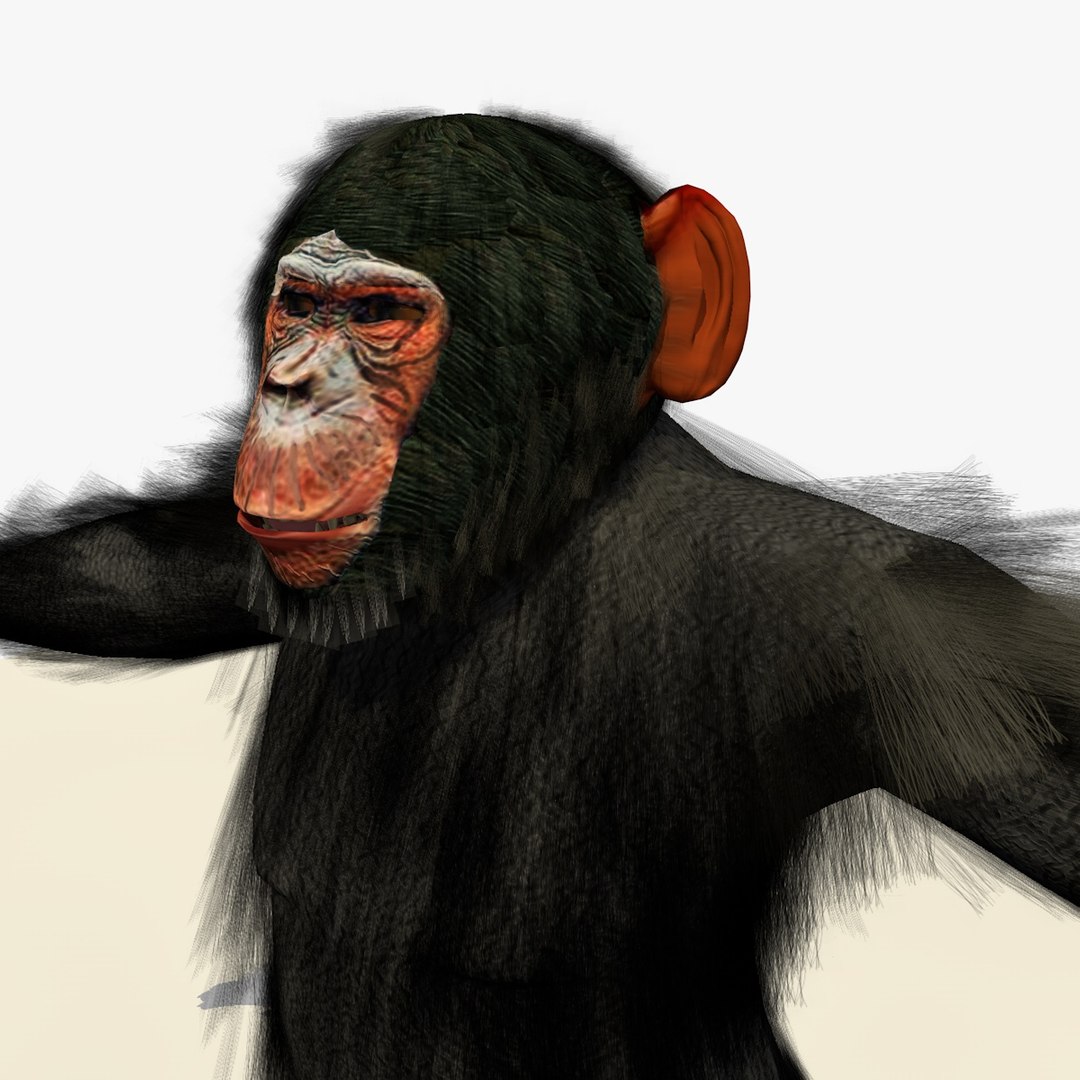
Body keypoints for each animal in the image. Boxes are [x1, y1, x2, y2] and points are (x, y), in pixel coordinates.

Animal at [1, 114, 1077, 1080]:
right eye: (298, 304)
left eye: (378, 315)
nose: (288, 385)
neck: (519, 543)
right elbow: (140, 571)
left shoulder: (896, 617)